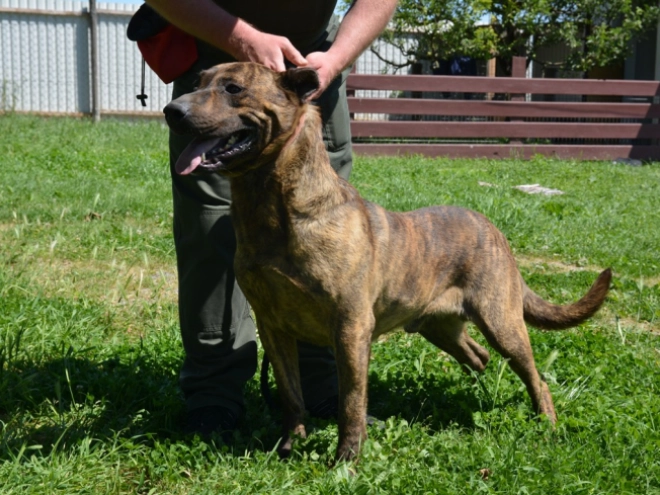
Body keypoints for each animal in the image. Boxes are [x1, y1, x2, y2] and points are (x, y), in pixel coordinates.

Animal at [164, 62, 611, 462]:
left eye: (233, 88)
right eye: (197, 83)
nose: (172, 111)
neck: (273, 208)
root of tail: (496, 232)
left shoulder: (350, 326)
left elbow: (350, 402)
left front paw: (347, 459)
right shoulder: (273, 326)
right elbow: (292, 396)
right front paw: (290, 446)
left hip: (501, 322)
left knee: (535, 377)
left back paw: (546, 423)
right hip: (440, 327)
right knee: (478, 356)